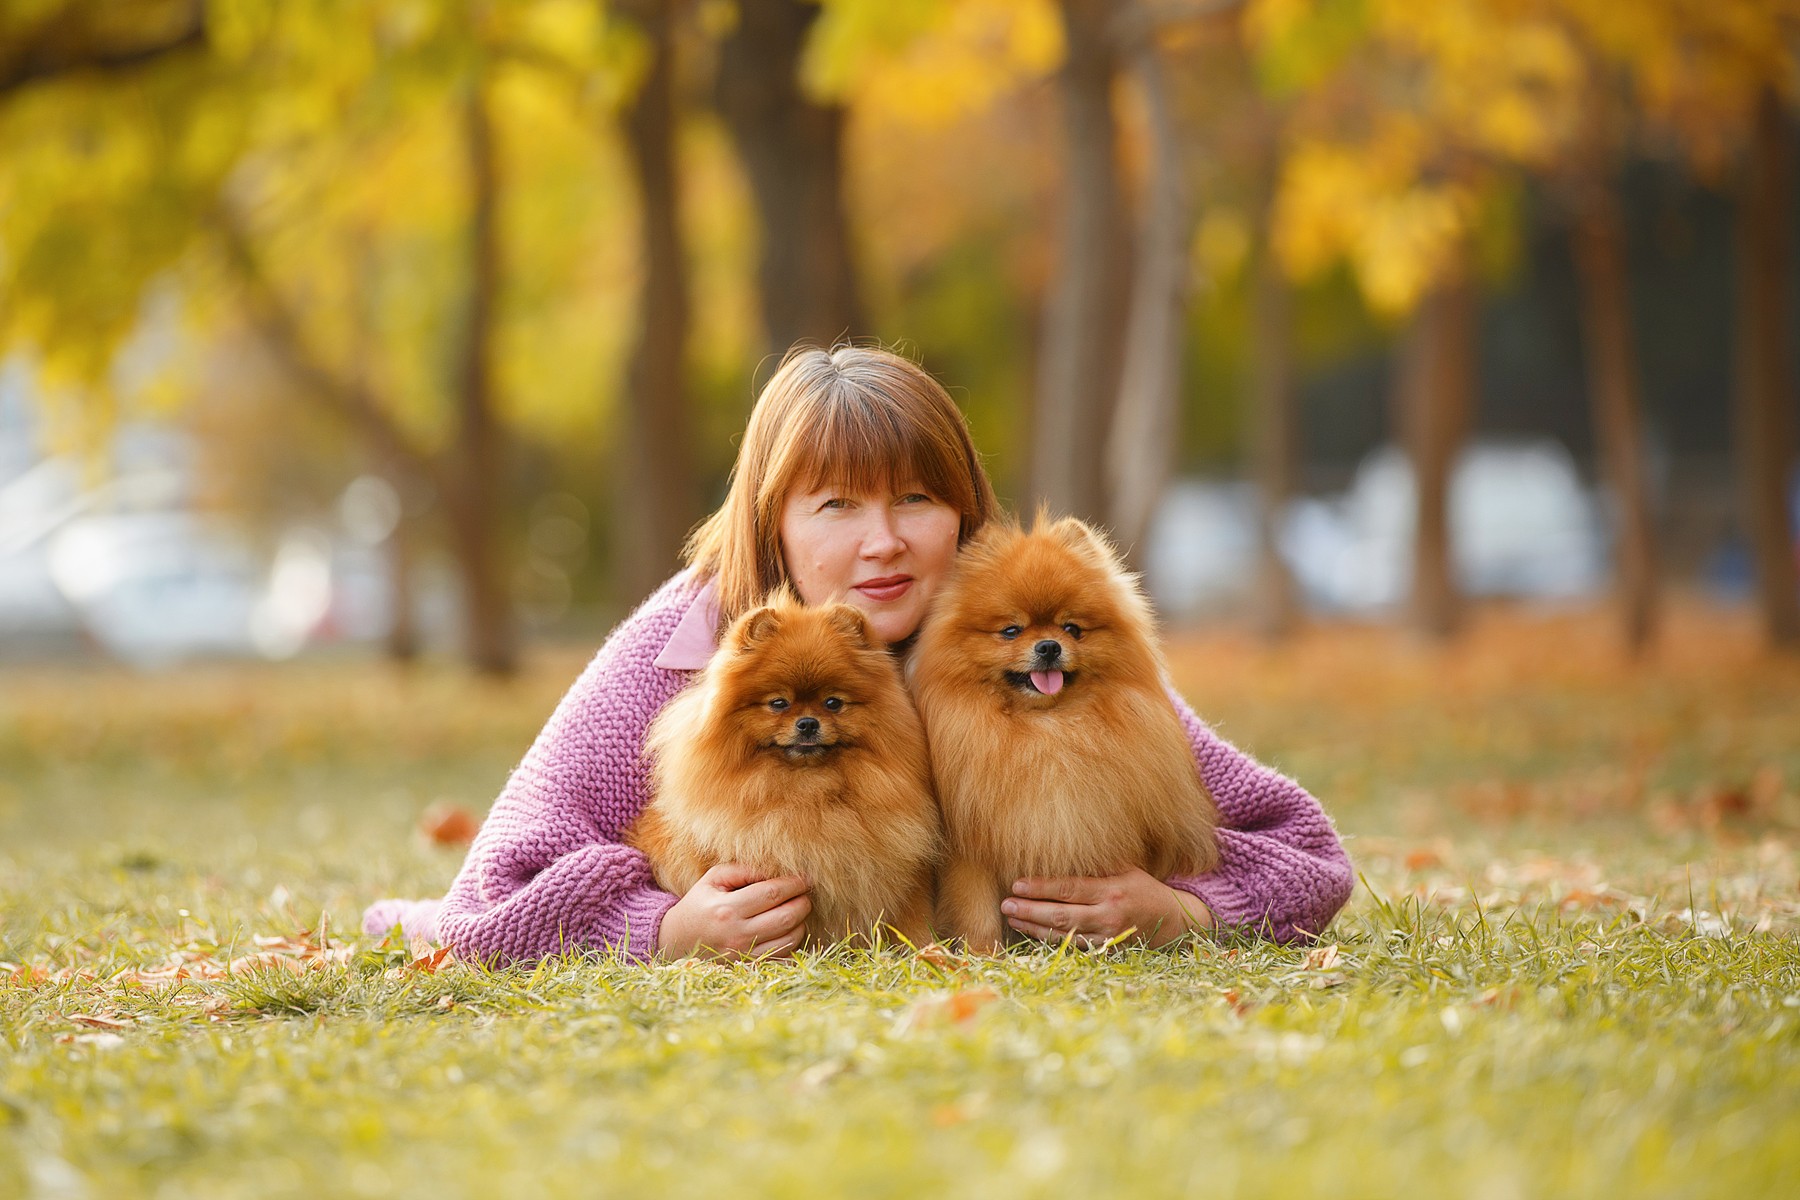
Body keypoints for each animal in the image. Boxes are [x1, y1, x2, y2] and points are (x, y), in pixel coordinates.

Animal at [914, 510, 1224, 949]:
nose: (1048, 646)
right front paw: (982, 954)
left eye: (1072, 629)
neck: (1049, 728)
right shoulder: (971, 853)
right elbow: (977, 914)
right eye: (1011, 631)